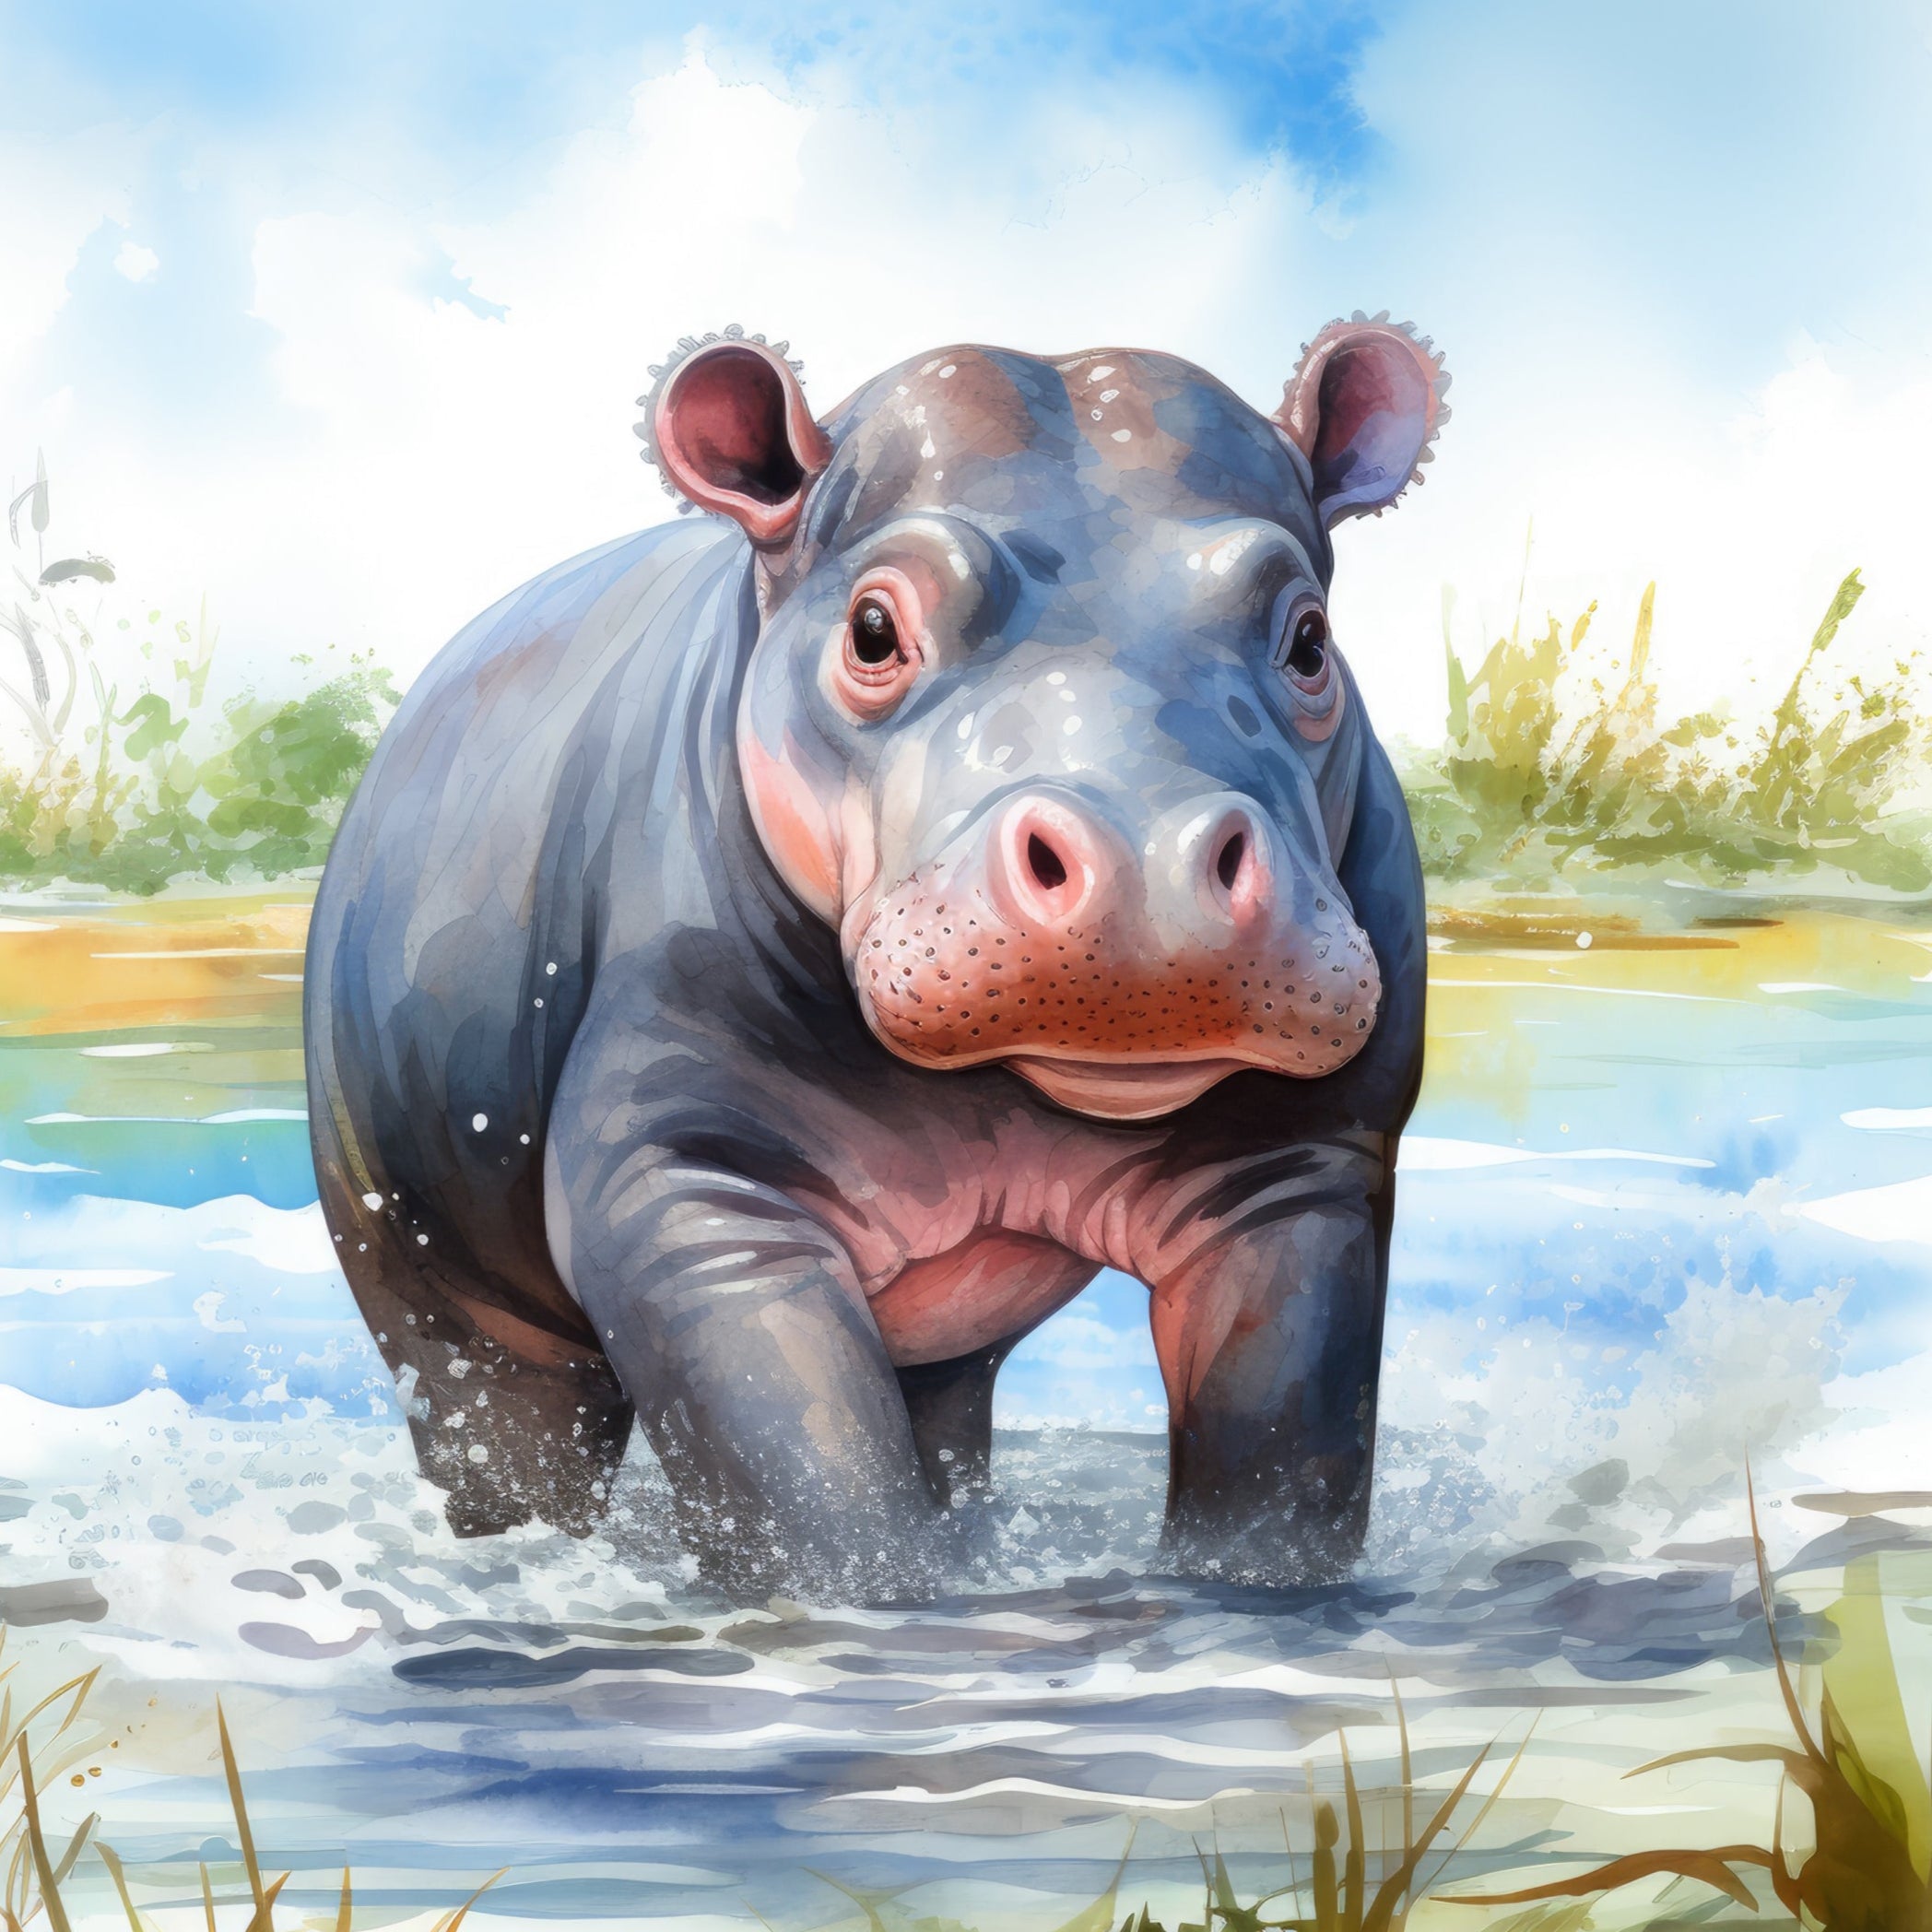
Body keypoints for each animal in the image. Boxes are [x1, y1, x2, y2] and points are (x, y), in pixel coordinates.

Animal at [305, 315, 1446, 1597]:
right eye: (869, 627)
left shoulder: (1298, 1168)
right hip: (438, 1277)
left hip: (943, 1330)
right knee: (505, 1433)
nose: (1145, 866)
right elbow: (813, 1498)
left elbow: (1279, 1475)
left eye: (1308, 637)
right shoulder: (682, 1173)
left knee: (940, 1411)